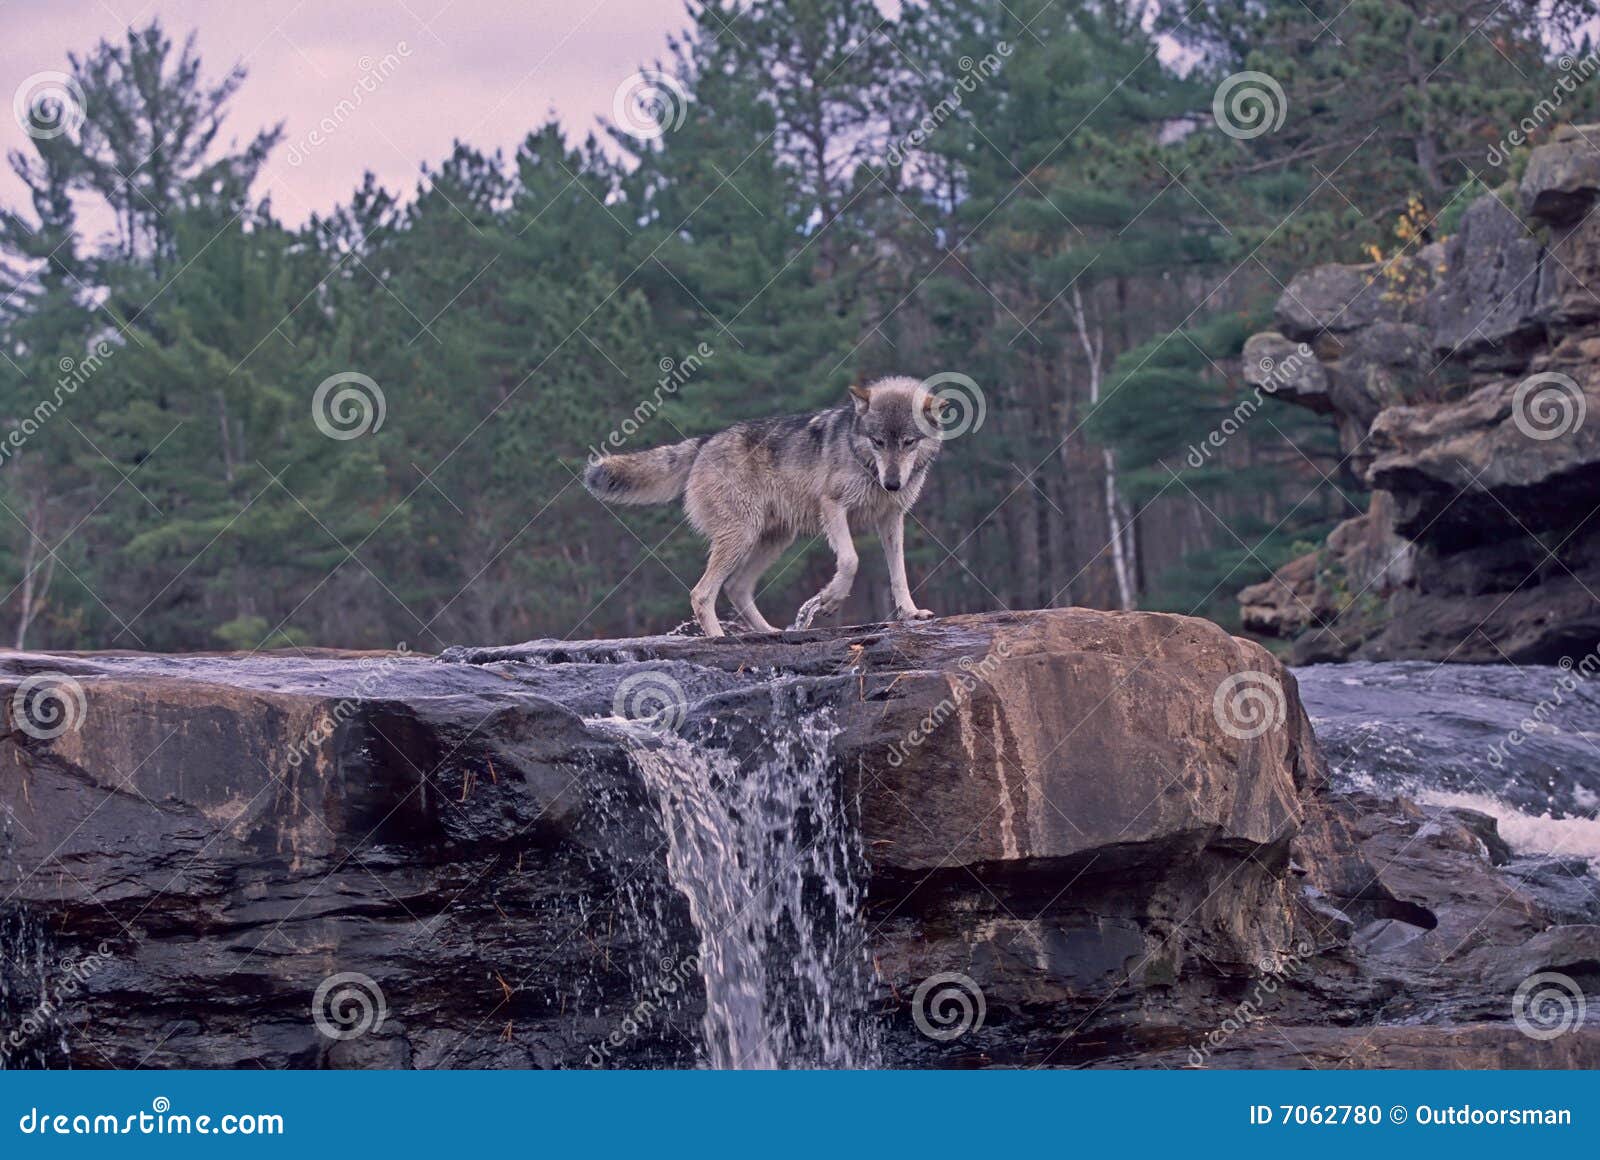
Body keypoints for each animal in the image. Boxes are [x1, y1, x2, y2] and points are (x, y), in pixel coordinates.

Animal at [583, 376, 948, 637]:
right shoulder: (832, 507)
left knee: (736, 588)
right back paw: (720, 638)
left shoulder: (891, 519)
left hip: (774, 539)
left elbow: (899, 574)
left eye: (908, 442)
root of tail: (704, 441)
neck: (866, 463)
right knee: (702, 593)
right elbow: (850, 560)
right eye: (878, 442)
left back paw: (770, 632)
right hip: (743, 535)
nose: (892, 484)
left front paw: (911, 613)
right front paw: (830, 600)